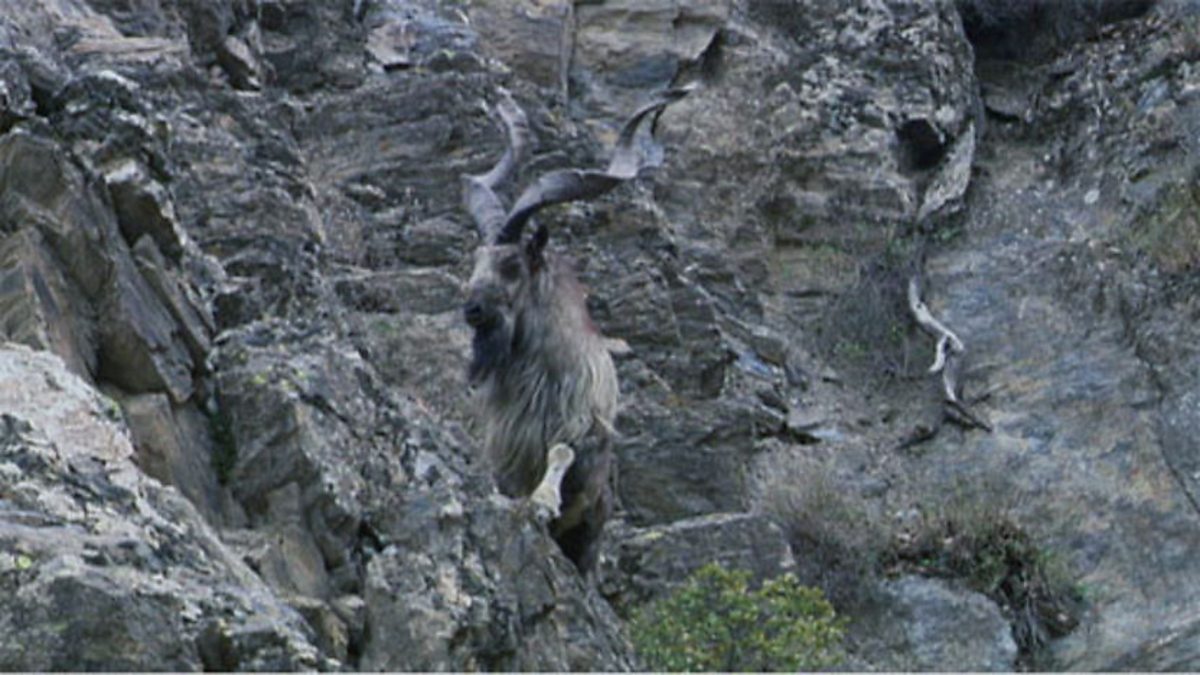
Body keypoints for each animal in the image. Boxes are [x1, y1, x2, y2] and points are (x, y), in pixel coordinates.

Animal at [461, 87, 689, 573]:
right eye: (477, 260)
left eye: (512, 265)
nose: (472, 308)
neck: (541, 373)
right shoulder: (506, 451)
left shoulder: (582, 433)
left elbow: (562, 453)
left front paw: (545, 501)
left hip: (588, 539)